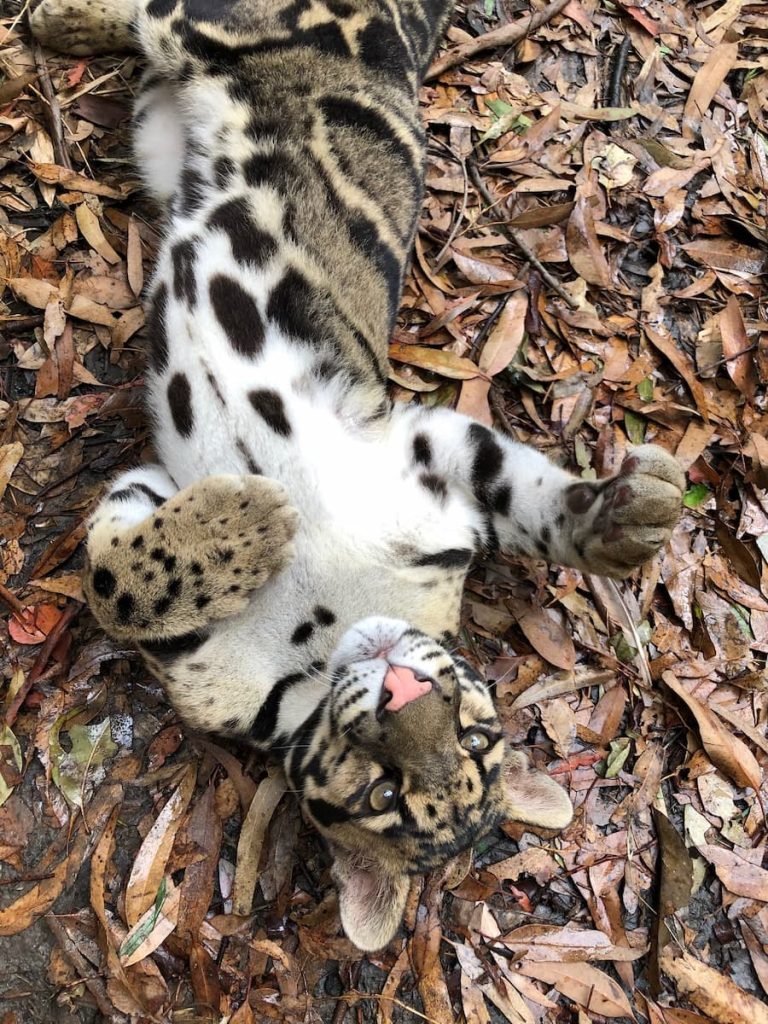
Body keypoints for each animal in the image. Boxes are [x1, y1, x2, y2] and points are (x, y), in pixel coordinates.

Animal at [29, 0, 685, 951]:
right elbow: (528, 493)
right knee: (152, 13)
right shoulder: (430, 453)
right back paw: (54, 22)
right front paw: (625, 519)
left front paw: (235, 523)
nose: (403, 684)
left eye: (395, 793)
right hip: (221, 29)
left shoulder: (157, 525)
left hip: (165, 114)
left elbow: (117, 576)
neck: (324, 636)